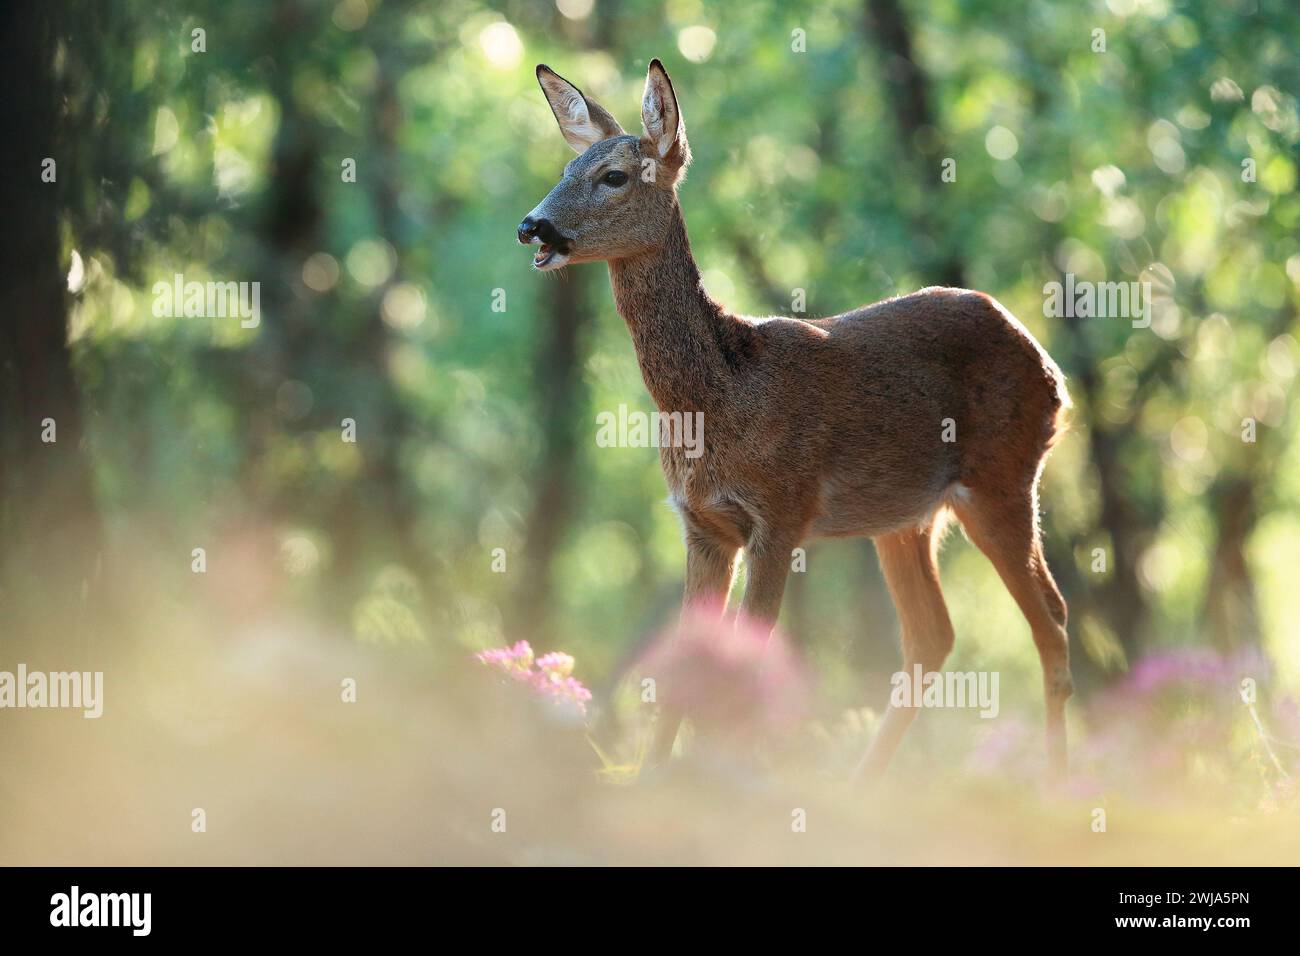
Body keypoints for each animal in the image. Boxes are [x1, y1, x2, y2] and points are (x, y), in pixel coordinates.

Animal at [518, 59, 1074, 782]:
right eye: (566, 167)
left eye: (614, 175)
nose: (532, 227)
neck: (716, 397)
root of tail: (1052, 372)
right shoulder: (702, 525)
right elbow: (689, 665)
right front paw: (655, 780)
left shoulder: (781, 513)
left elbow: (744, 657)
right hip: (904, 517)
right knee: (933, 633)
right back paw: (862, 785)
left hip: (1003, 479)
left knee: (1051, 617)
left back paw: (1059, 780)